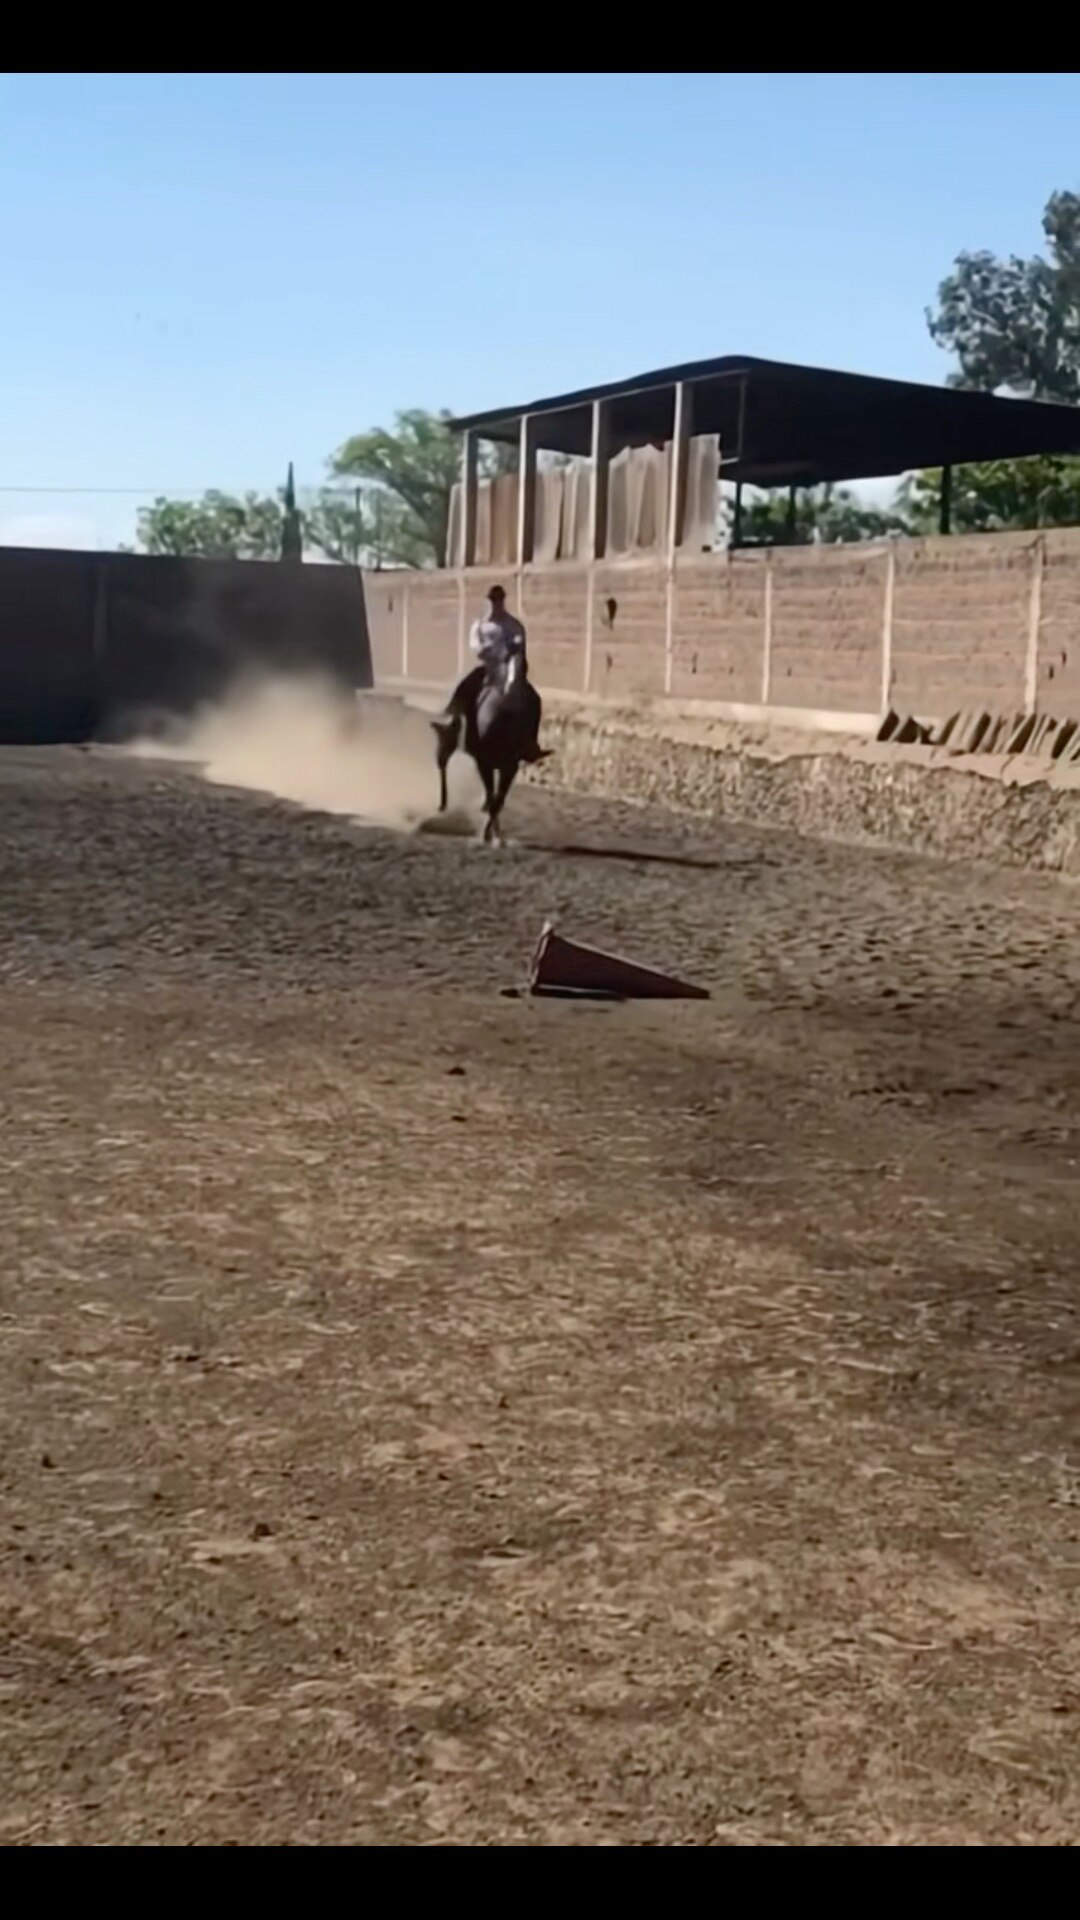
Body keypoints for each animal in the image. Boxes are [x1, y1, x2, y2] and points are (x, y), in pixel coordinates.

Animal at [435, 652, 541, 844]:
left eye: (442, 740)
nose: (439, 760)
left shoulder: (484, 763)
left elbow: (491, 795)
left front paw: (490, 833)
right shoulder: (506, 766)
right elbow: (496, 798)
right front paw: (495, 833)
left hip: (490, 763)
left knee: (495, 798)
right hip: (508, 765)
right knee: (498, 800)